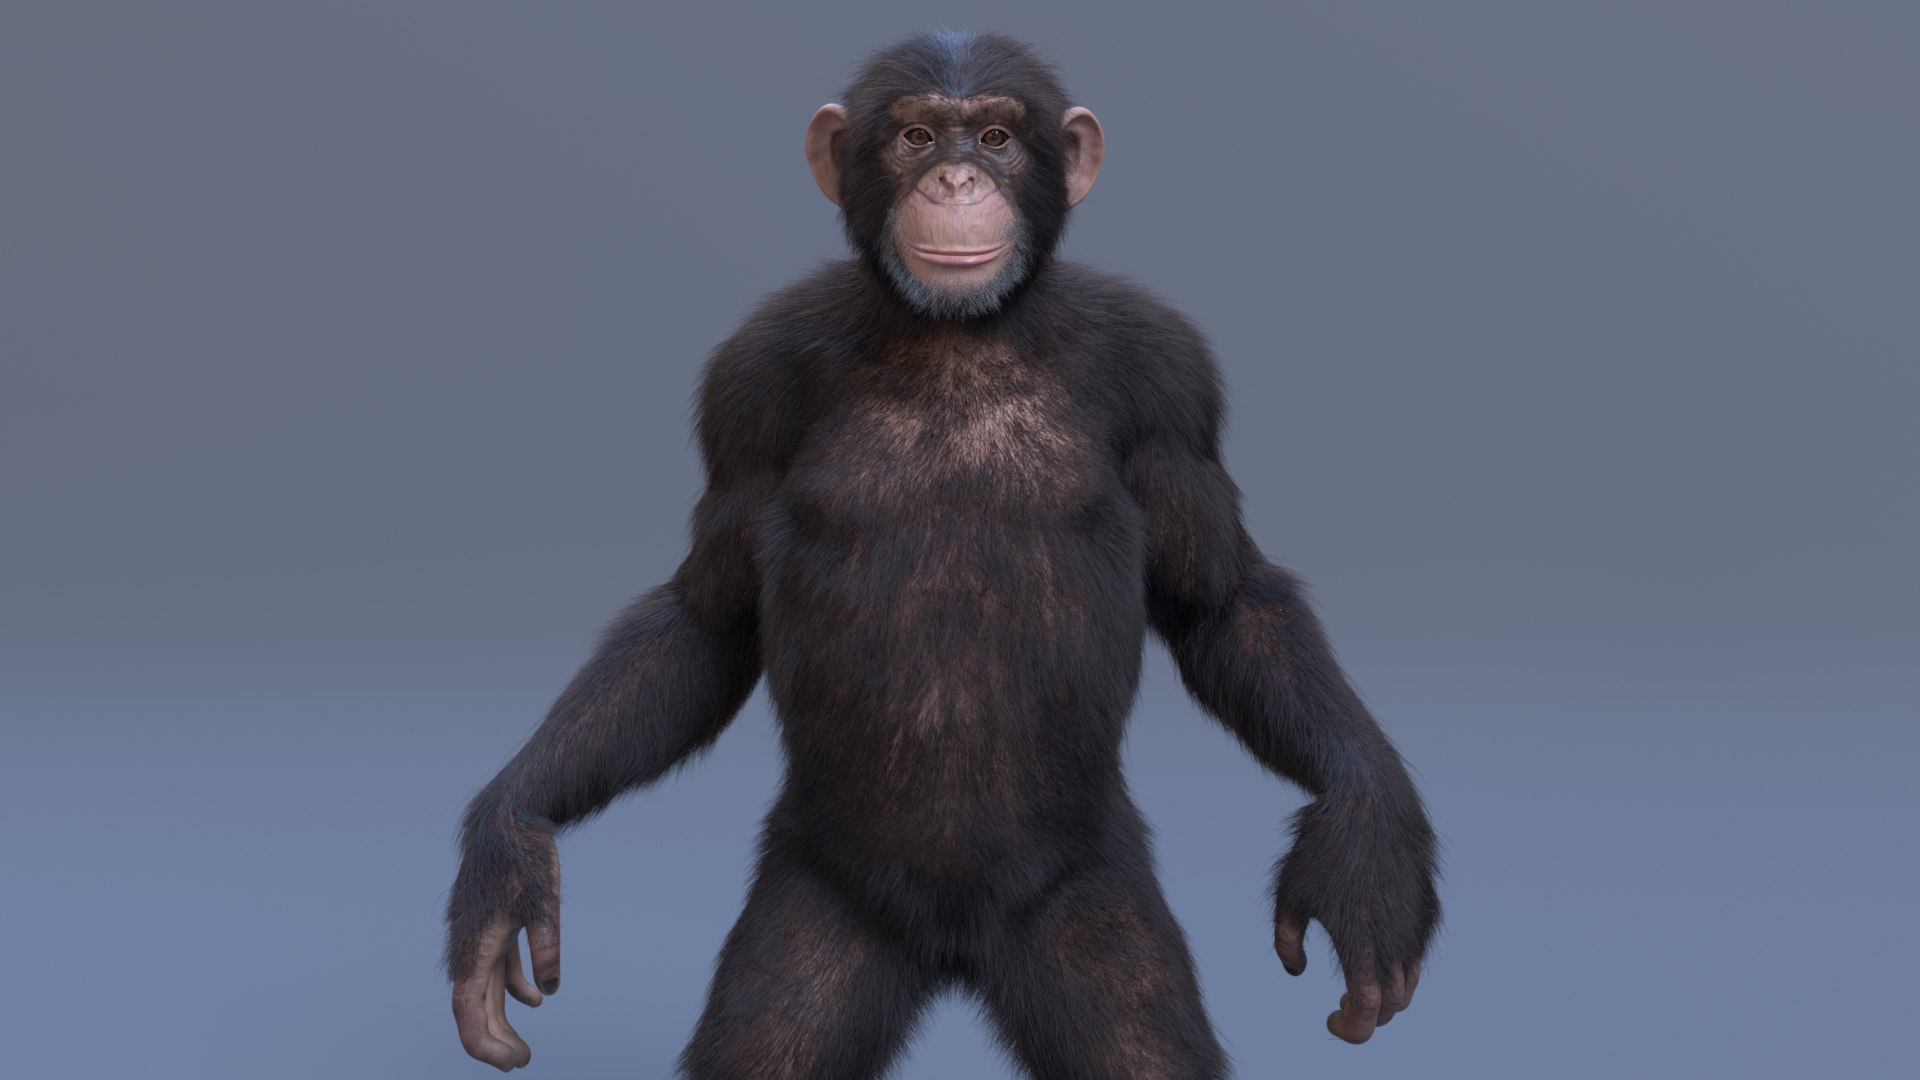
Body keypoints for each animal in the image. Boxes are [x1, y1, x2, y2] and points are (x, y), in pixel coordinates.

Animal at [445, 31, 1439, 1078]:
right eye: (917, 135)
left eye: (997, 136)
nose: (957, 178)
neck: (958, 332)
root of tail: (956, 946)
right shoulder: (746, 386)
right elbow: (709, 617)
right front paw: (510, 842)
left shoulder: (1170, 380)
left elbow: (1222, 597)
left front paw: (1368, 841)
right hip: (816, 908)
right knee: (773, 1034)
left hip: (1095, 902)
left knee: (1136, 1034)